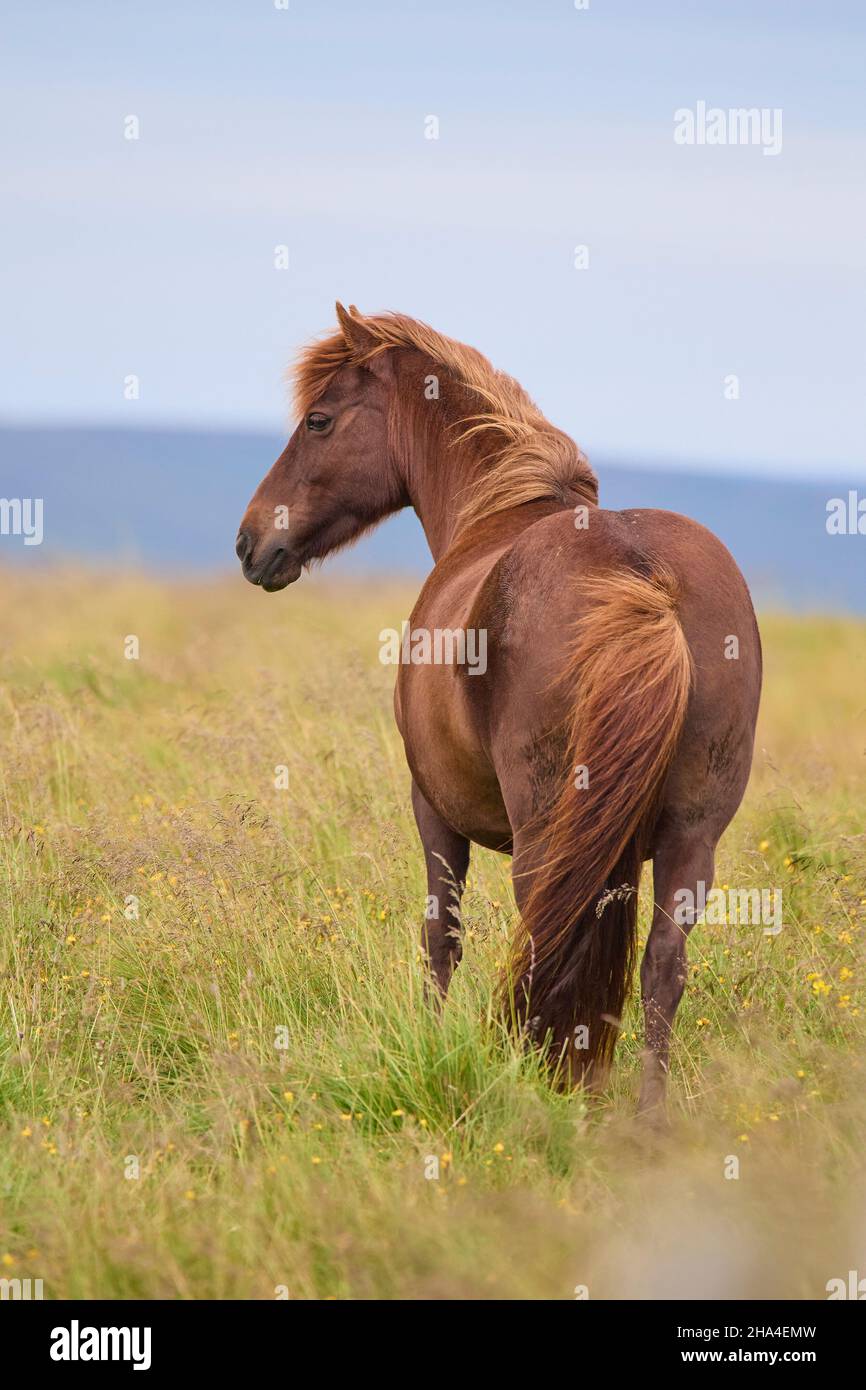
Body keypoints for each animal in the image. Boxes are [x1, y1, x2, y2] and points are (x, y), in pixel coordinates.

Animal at [237, 304, 762, 1117]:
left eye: (319, 420)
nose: (251, 540)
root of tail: (640, 573)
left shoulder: (432, 811)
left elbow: (441, 940)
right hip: (690, 838)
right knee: (661, 969)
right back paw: (645, 1119)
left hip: (546, 834)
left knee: (548, 944)